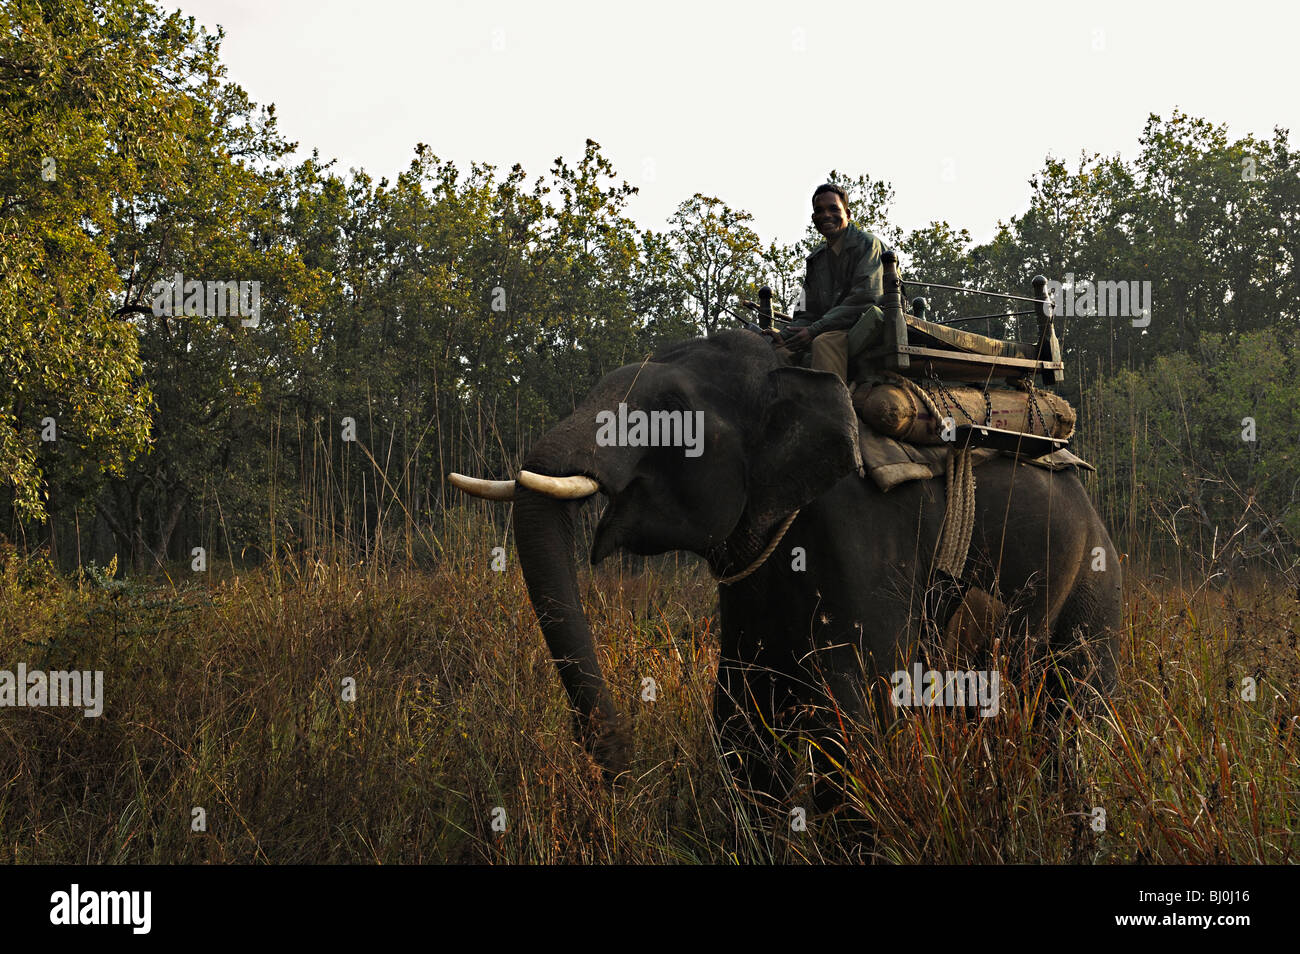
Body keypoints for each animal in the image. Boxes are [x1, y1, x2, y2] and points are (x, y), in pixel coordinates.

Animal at [450, 329, 1122, 810]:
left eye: (669, 413)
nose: (617, 766)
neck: (788, 371)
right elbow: (742, 716)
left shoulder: (864, 533)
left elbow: (852, 718)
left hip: (1092, 578)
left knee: (1072, 717)